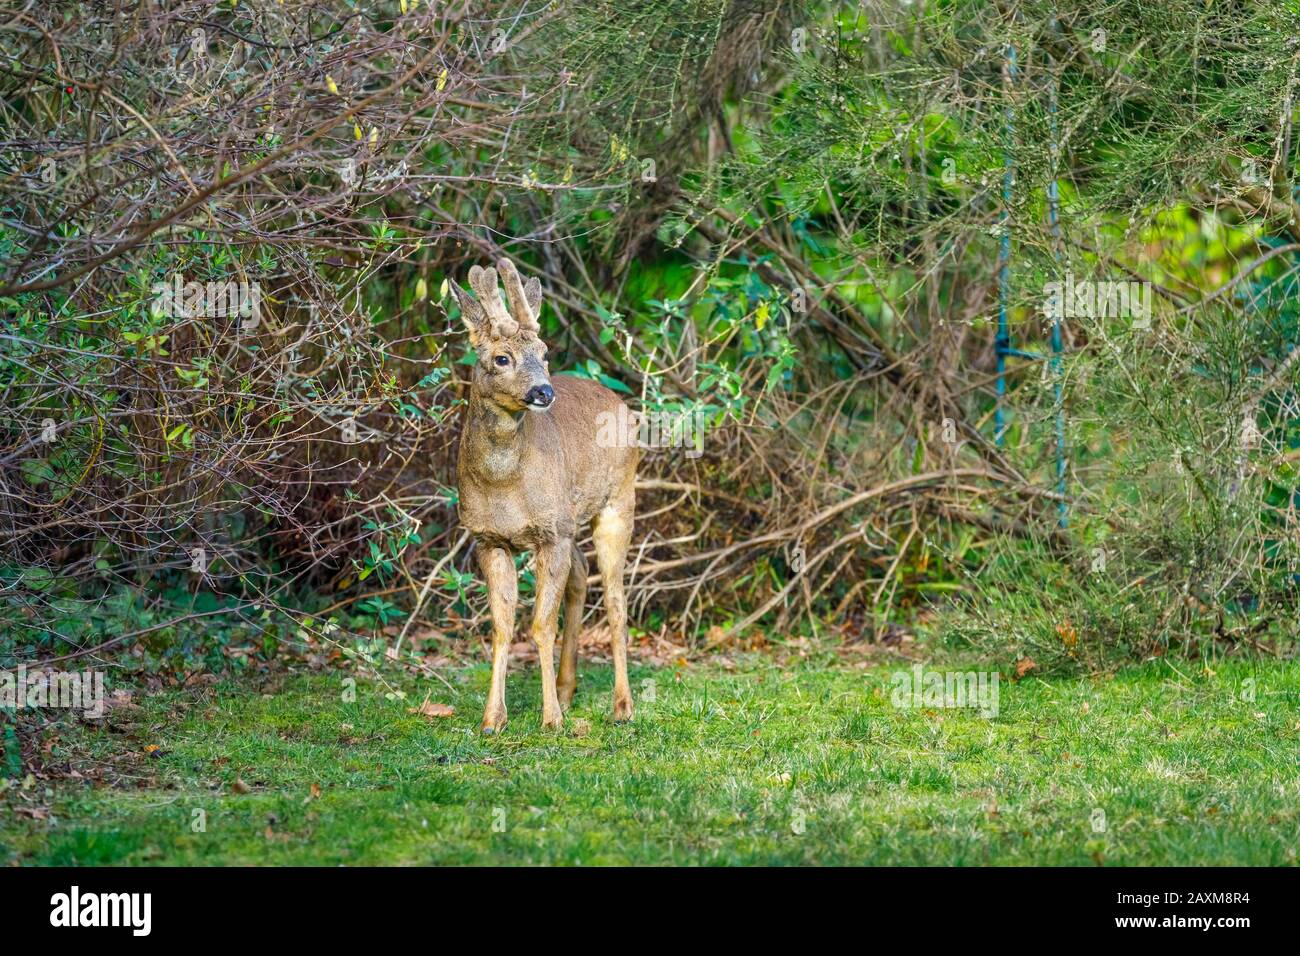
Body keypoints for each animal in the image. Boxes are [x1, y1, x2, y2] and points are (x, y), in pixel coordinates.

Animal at [450, 257, 640, 733]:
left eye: (545, 354)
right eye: (502, 358)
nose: (543, 392)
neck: (503, 484)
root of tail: (623, 404)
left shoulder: (550, 533)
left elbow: (540, 626)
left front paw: (550, 719)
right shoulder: (489, 538)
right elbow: (502, 626)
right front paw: (492, 719)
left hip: (617, 501)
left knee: (616, 599)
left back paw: (622, 706)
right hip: (569, 518)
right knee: (581, 573)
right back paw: (569, 689)